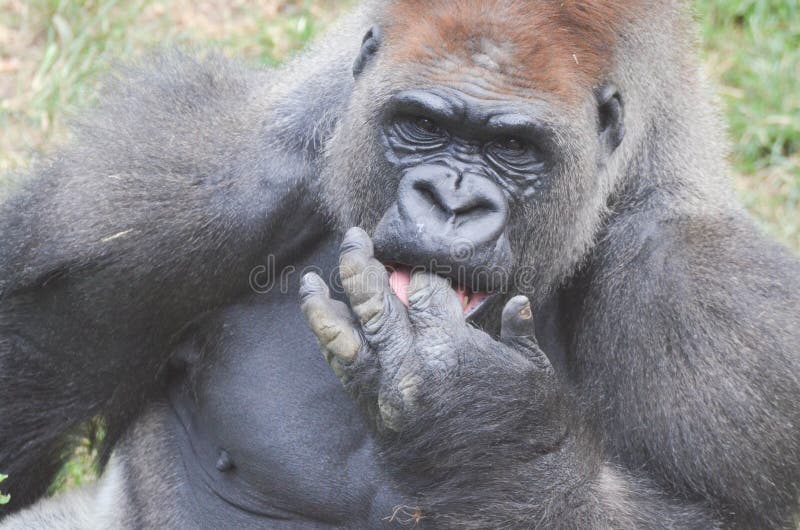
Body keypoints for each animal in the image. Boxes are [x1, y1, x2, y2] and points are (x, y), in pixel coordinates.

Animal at [1, 0, 798, 528]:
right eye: (420, 125)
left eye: (514, 148)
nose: (449, 202)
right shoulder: (172, 189)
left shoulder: (711, 313)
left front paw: (489, 431)